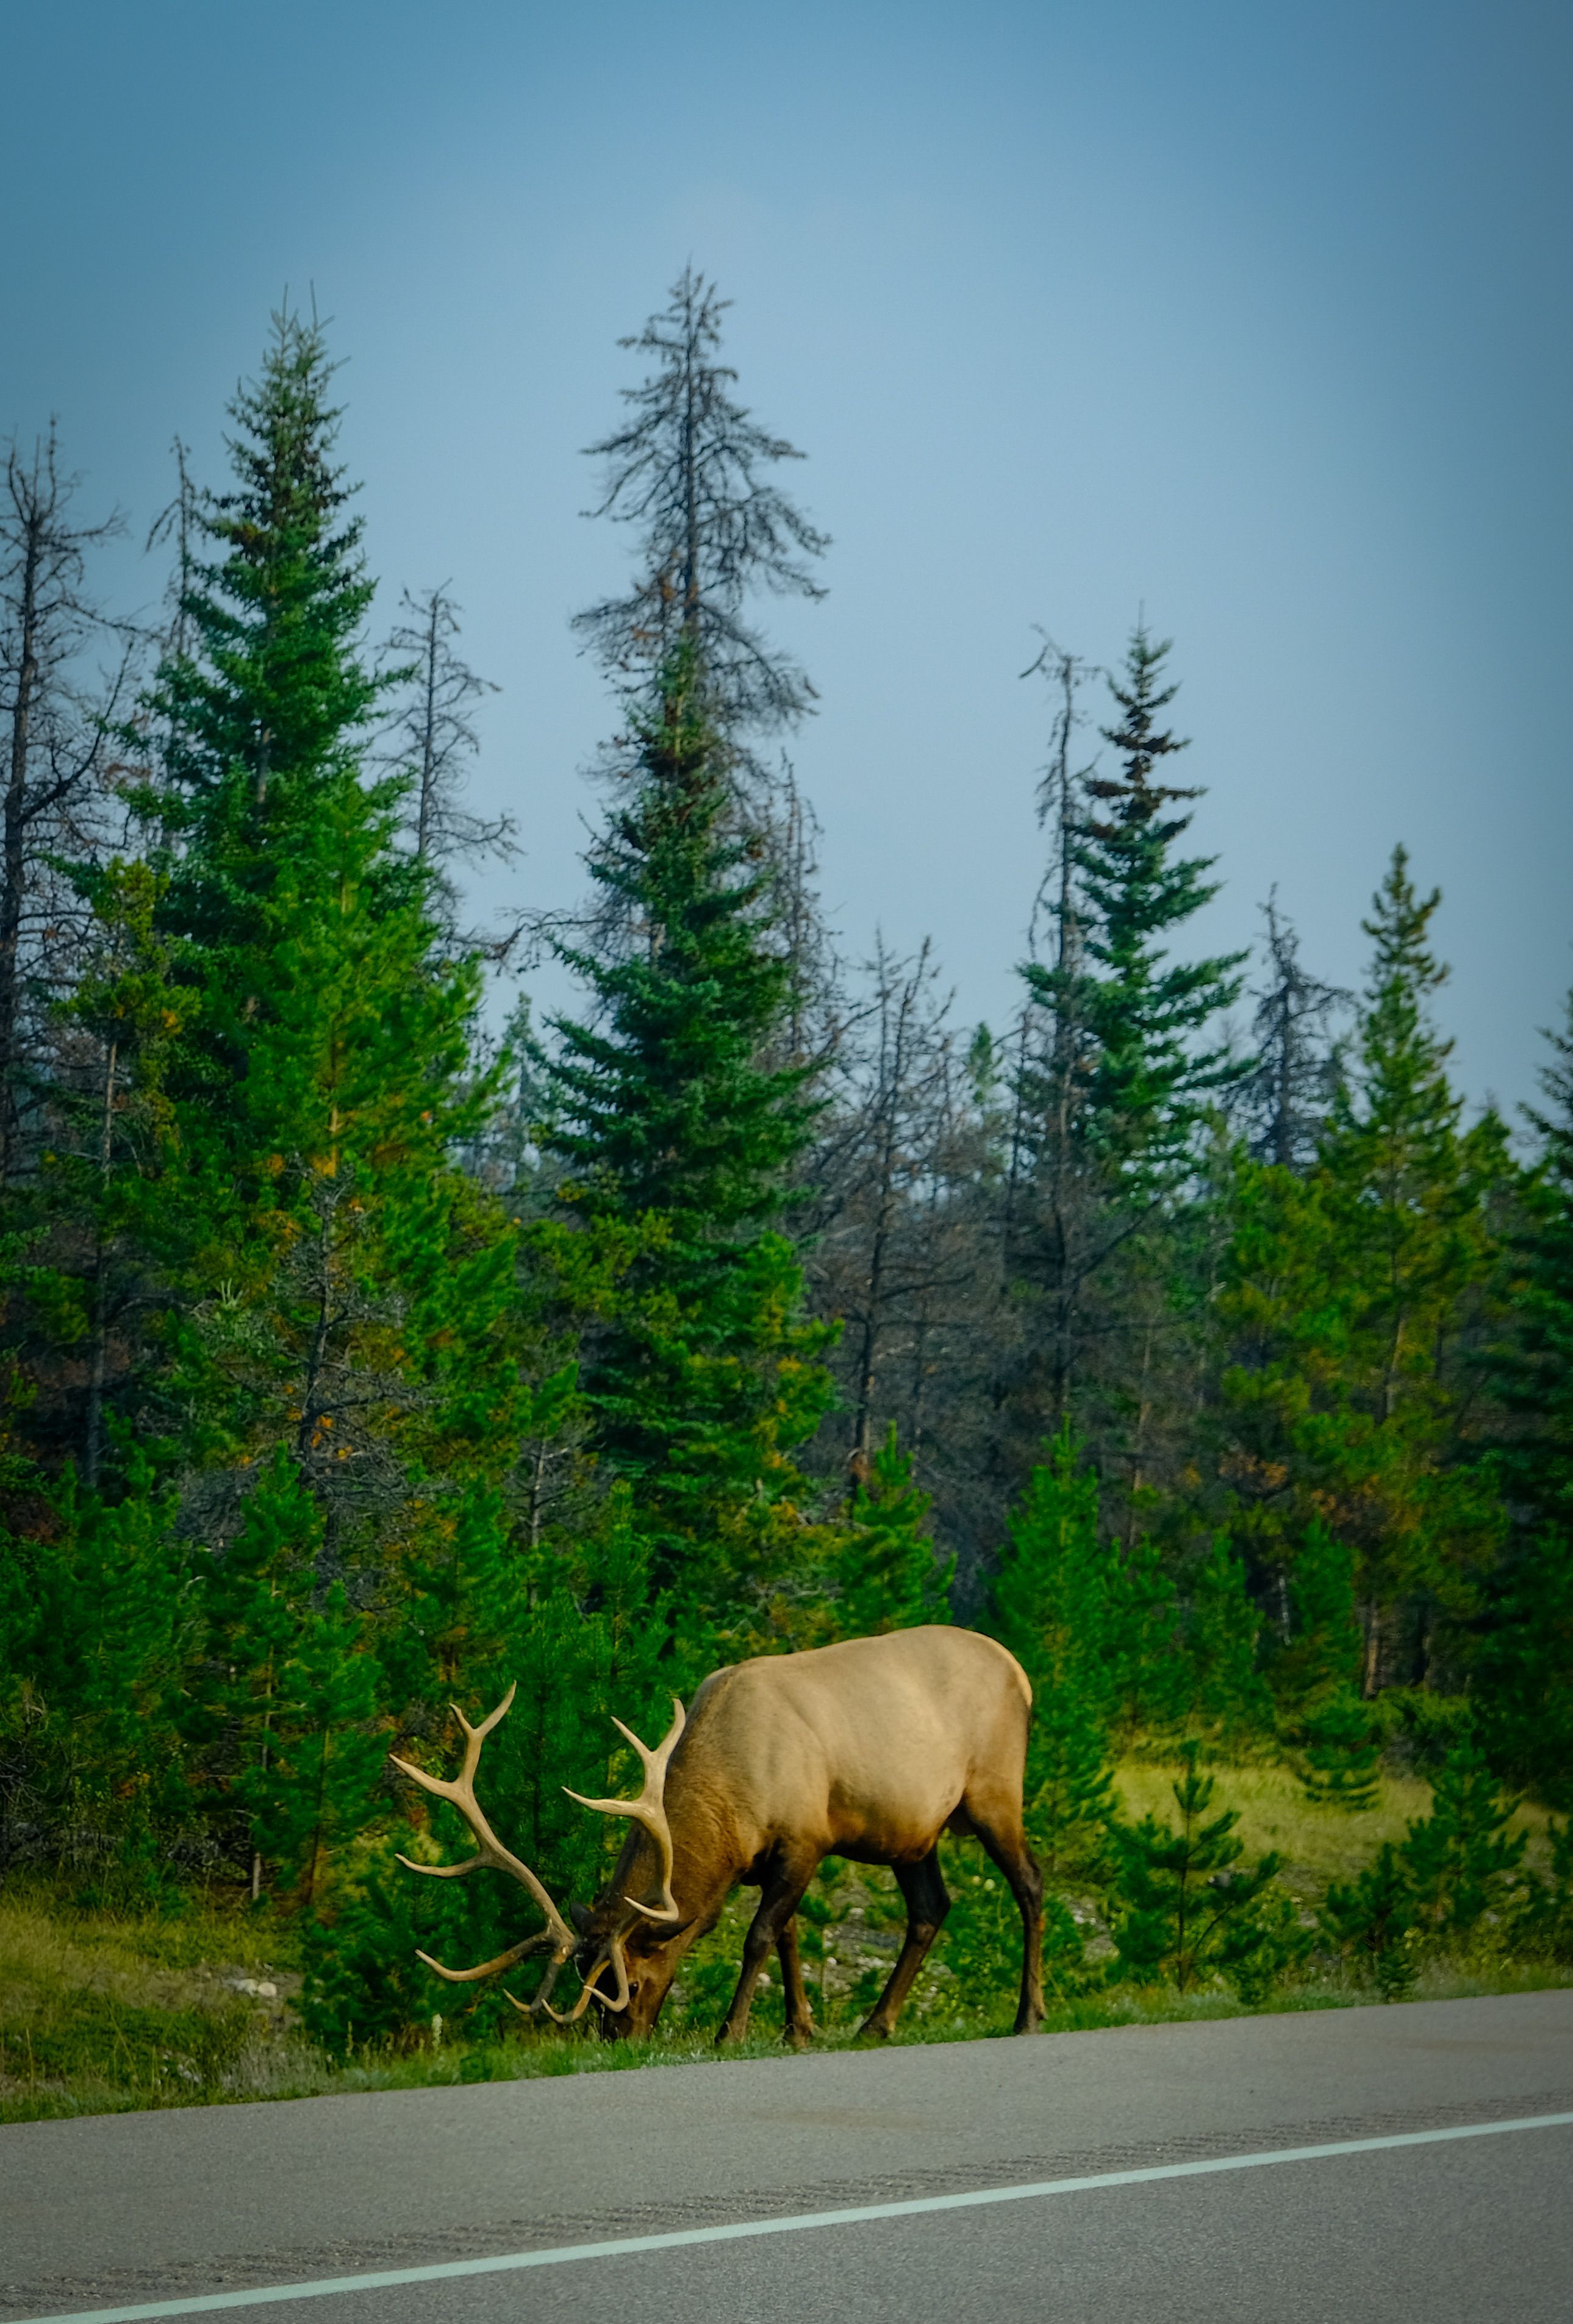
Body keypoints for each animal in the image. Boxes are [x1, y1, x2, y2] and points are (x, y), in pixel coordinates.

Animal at [390, 1624, 1045, 2044]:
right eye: (585, 1978)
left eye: (628, 1982)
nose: (616, 2038)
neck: (732, 1797)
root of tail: (1022, 1673)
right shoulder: (768, 1858)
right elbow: (790, 1937)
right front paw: (797, 2029)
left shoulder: (805, 1838)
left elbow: (759, 1936)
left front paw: (730, 2032)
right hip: (912, 1833)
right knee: (931, 1907)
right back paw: (876, 2023)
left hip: (994, 1792)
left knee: (1030, 1883)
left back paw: (1028, 2014)